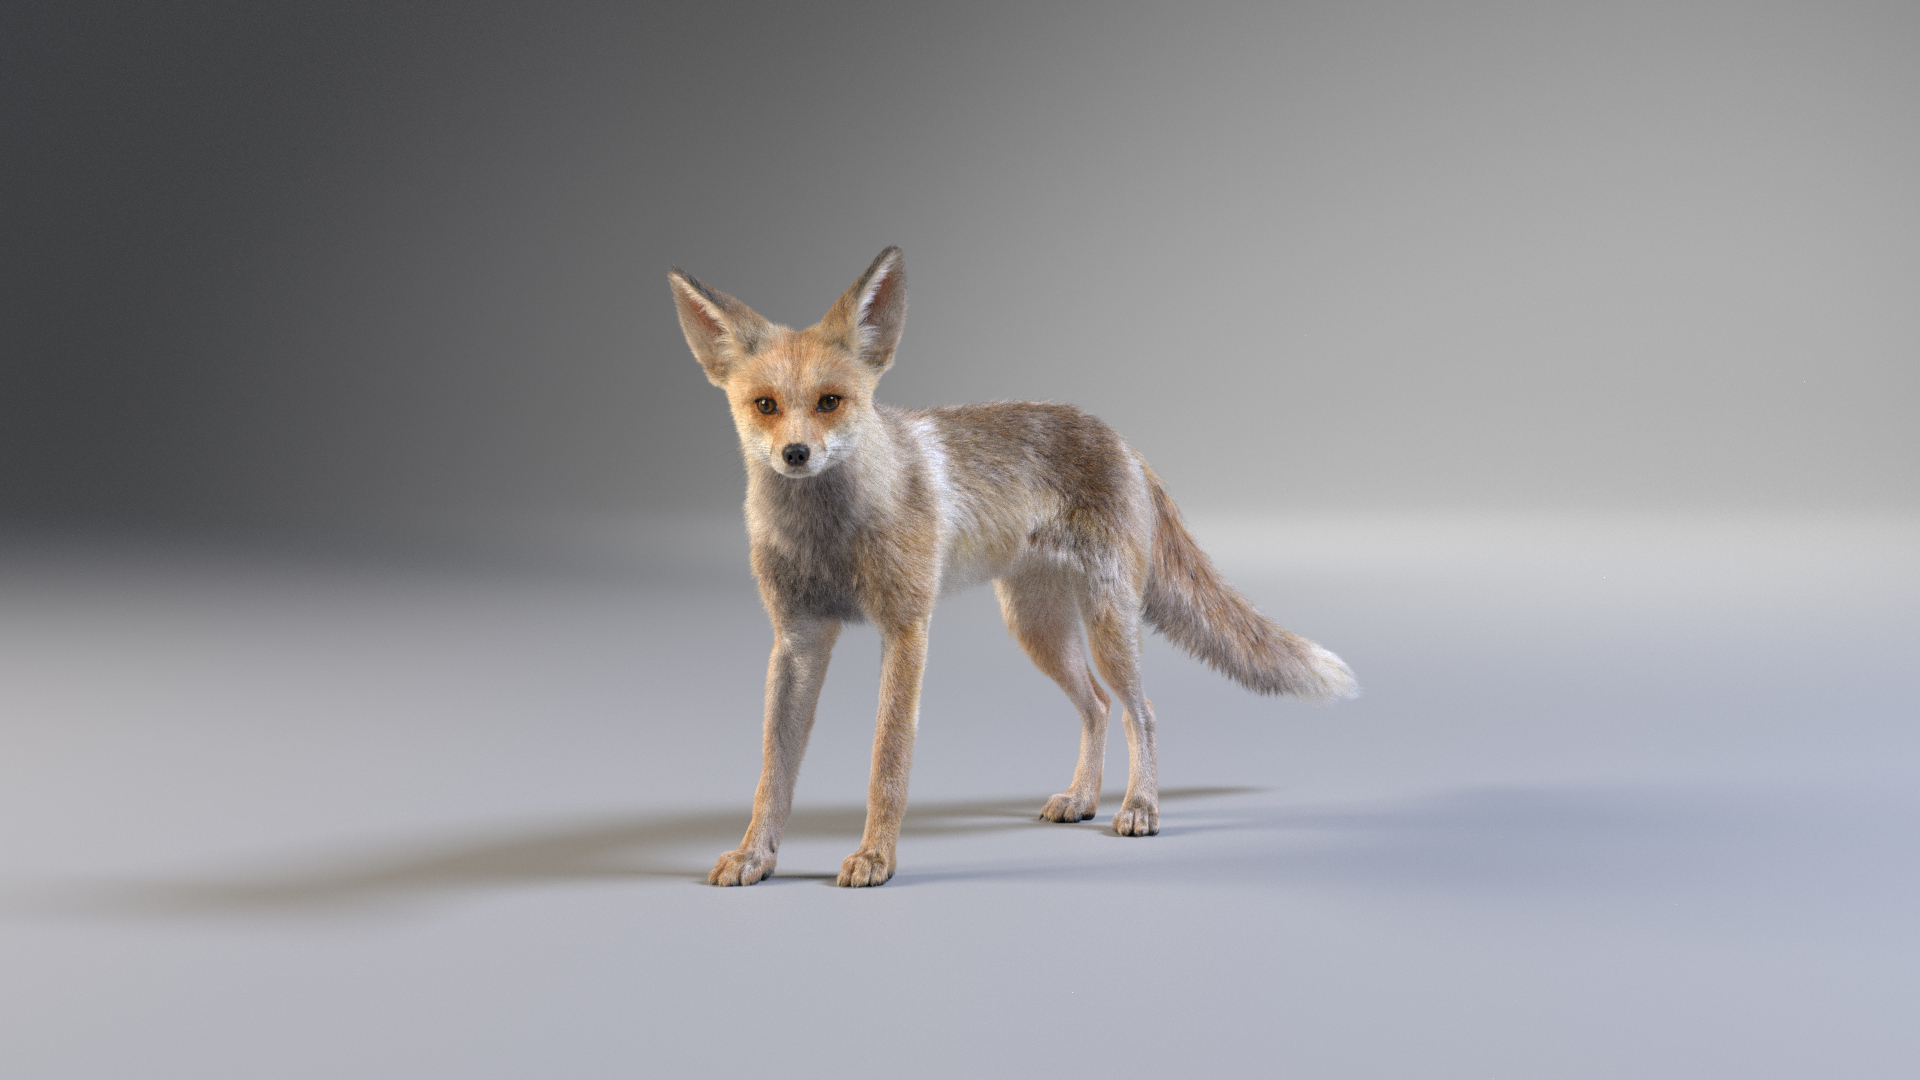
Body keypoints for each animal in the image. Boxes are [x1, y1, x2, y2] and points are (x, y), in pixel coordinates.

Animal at [668, 246, 1357, 888]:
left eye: (830, 402)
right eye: (765, 405)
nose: (795, 454)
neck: (826, 538)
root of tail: (1123, 442)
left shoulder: (906, 629)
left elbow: (887, 763)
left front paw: (876, 858)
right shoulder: (798, 640)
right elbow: (772, 772)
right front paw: (756, 855)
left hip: (1107, 625)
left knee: (1142, 712)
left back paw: (1140, 806)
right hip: (1038, 631)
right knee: (1097, 706)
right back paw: (1082, 798)